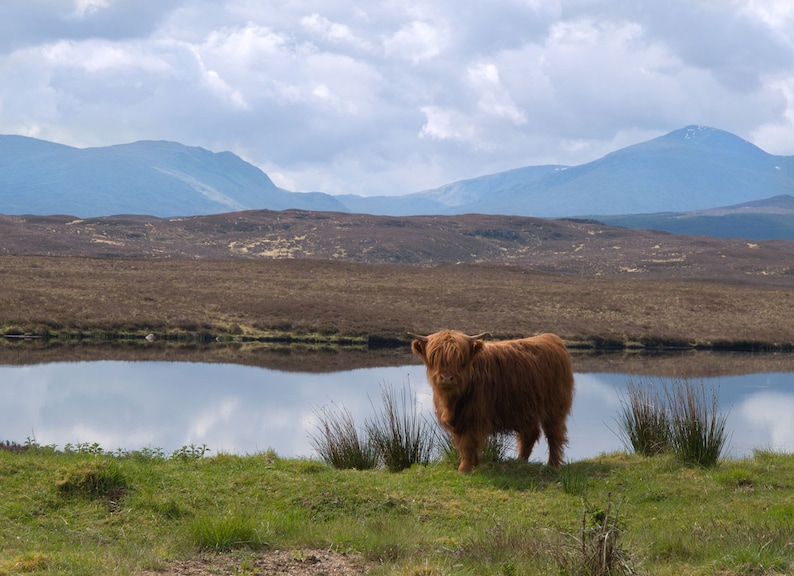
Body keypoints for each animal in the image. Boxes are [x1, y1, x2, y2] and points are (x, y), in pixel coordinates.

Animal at [409, 330, 574, 473]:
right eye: (434, 356)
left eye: (460, 358)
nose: (447, 378)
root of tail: (551, 339)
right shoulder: (459, 420)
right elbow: (462, 443)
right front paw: (474, 464)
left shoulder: (473, 417)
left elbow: (468, 443)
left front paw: (465, 469)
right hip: (526, 409)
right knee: (530, 434)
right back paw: (520, 462)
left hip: (554, 407)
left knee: (554, 435)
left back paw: (552, 465)